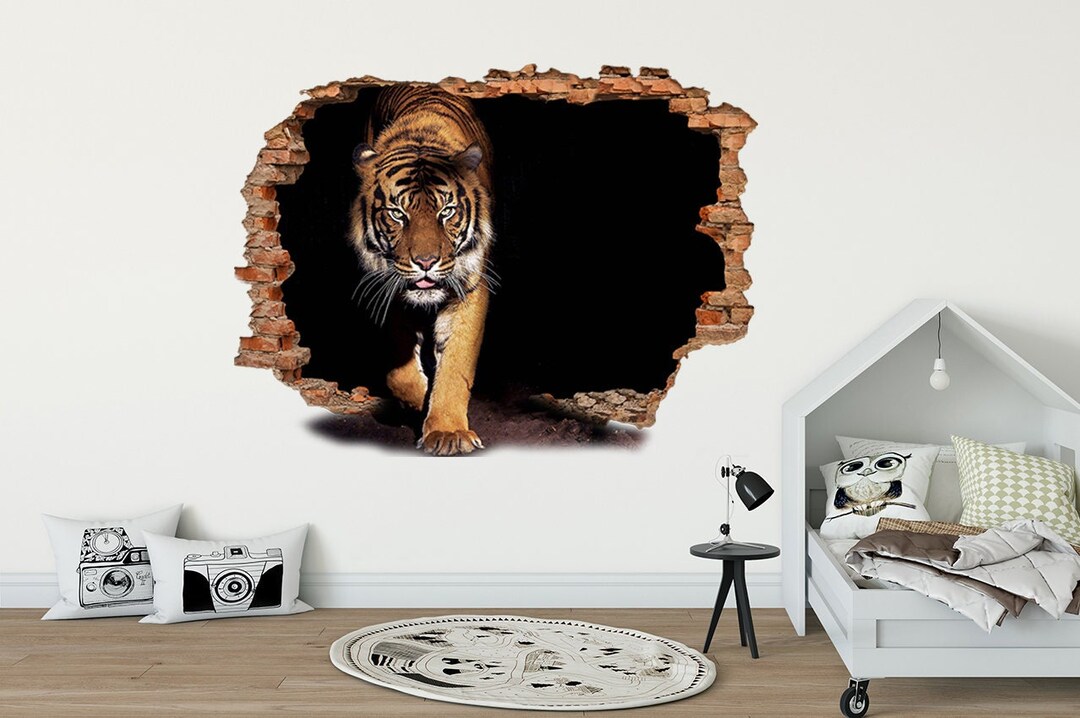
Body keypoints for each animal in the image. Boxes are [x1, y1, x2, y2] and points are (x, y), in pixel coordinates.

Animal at [349, 84, 495, 456]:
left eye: (447, 211)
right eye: (397, 214)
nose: (426, 262)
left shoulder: (470, 287)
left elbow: (456, 364)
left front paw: (447, 432)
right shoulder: (387, 286)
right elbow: (398, 371)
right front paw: (419, 402)